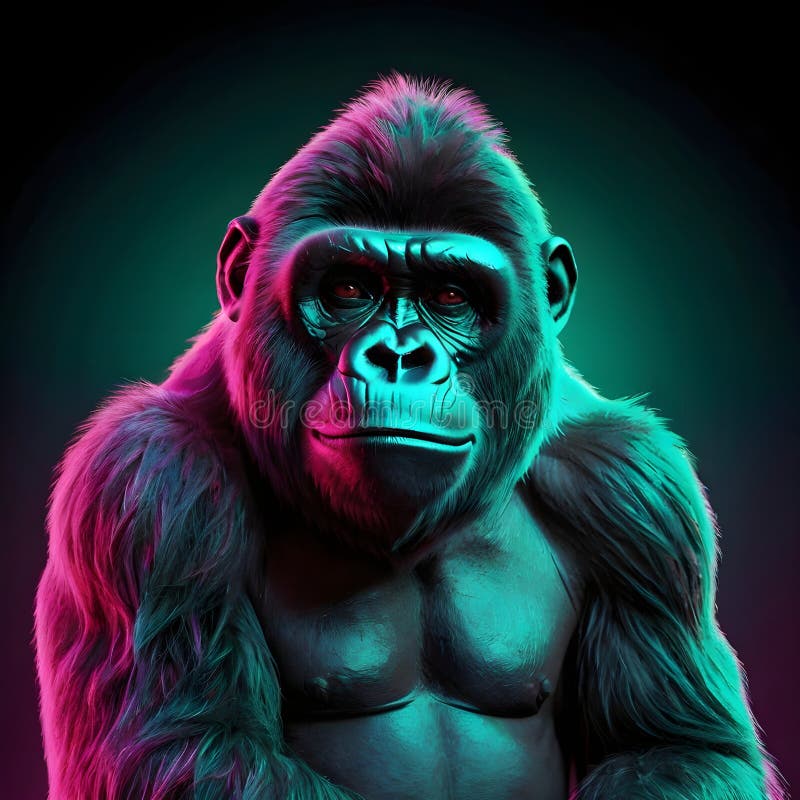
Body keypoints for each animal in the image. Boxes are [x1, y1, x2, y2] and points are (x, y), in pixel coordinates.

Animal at [35, 73, 785, 799]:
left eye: (450, 295)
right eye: (347, 288)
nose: (398, 356)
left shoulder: (636, 494)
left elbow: (678, 747)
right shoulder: (153, 482)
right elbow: (191, 745)